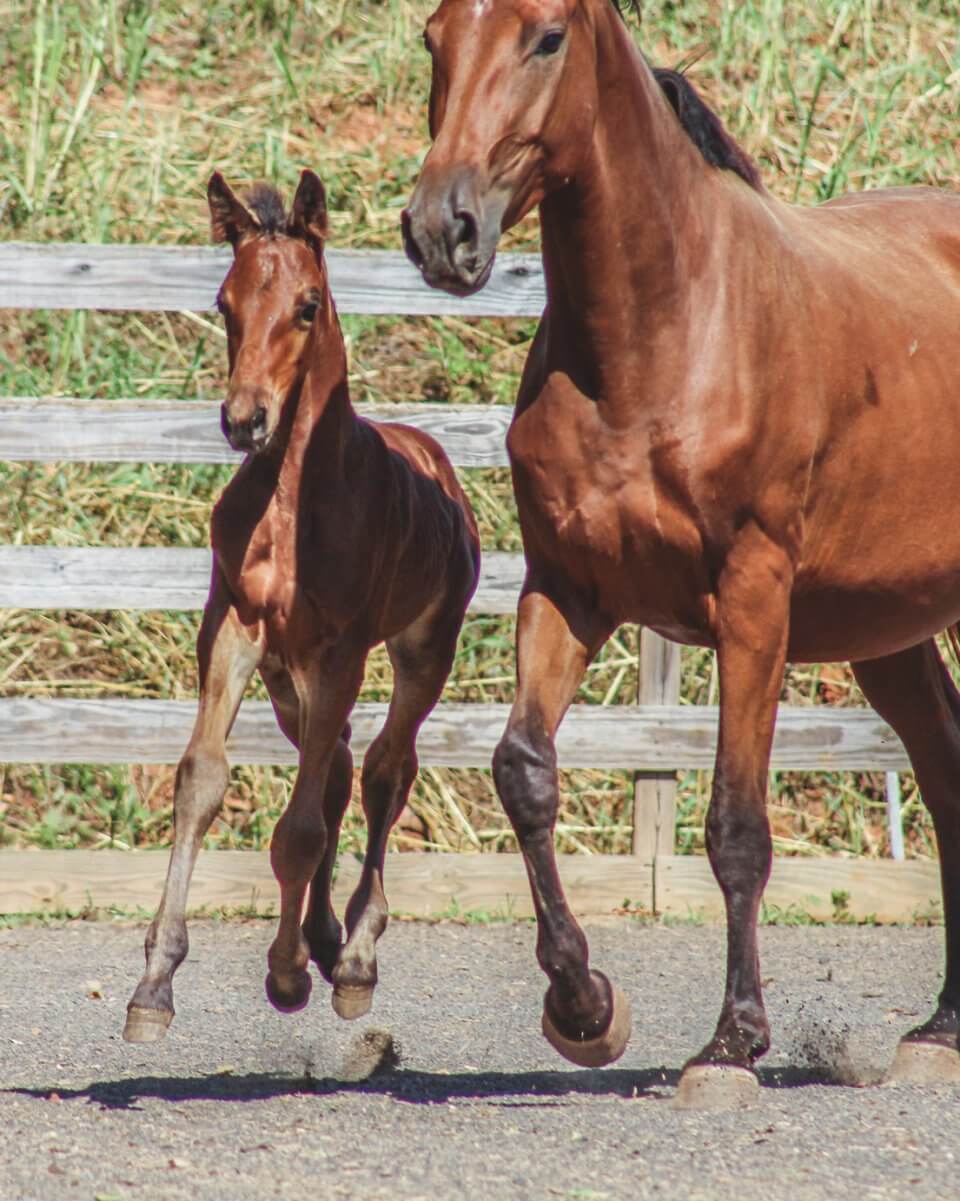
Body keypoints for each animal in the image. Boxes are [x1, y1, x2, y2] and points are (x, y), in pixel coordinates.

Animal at [123, 170, 480, 1042]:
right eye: (224, 303)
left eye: (308, 304)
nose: (244, 418)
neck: (295, 501)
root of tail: (440, 464)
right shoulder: (234, 628)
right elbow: (202, 781)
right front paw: (155, 983)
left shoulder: (343, 647)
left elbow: (302, 828)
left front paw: (286, 973)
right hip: (291, 680)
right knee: (342, 764)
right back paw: (322, 935)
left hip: (424, 650)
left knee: (385, 769)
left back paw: (351, 956)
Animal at [402, 0, 960, 1105]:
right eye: (434, 40)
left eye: (545, 38)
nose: (444, 229)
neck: (666, 337)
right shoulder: (565, 590)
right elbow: (524, 771)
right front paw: (584, 1006)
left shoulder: (754, 600)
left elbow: (735, 827)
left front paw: (731, 1044)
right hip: (888, 629)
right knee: (953, 773)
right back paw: (942, 1030)